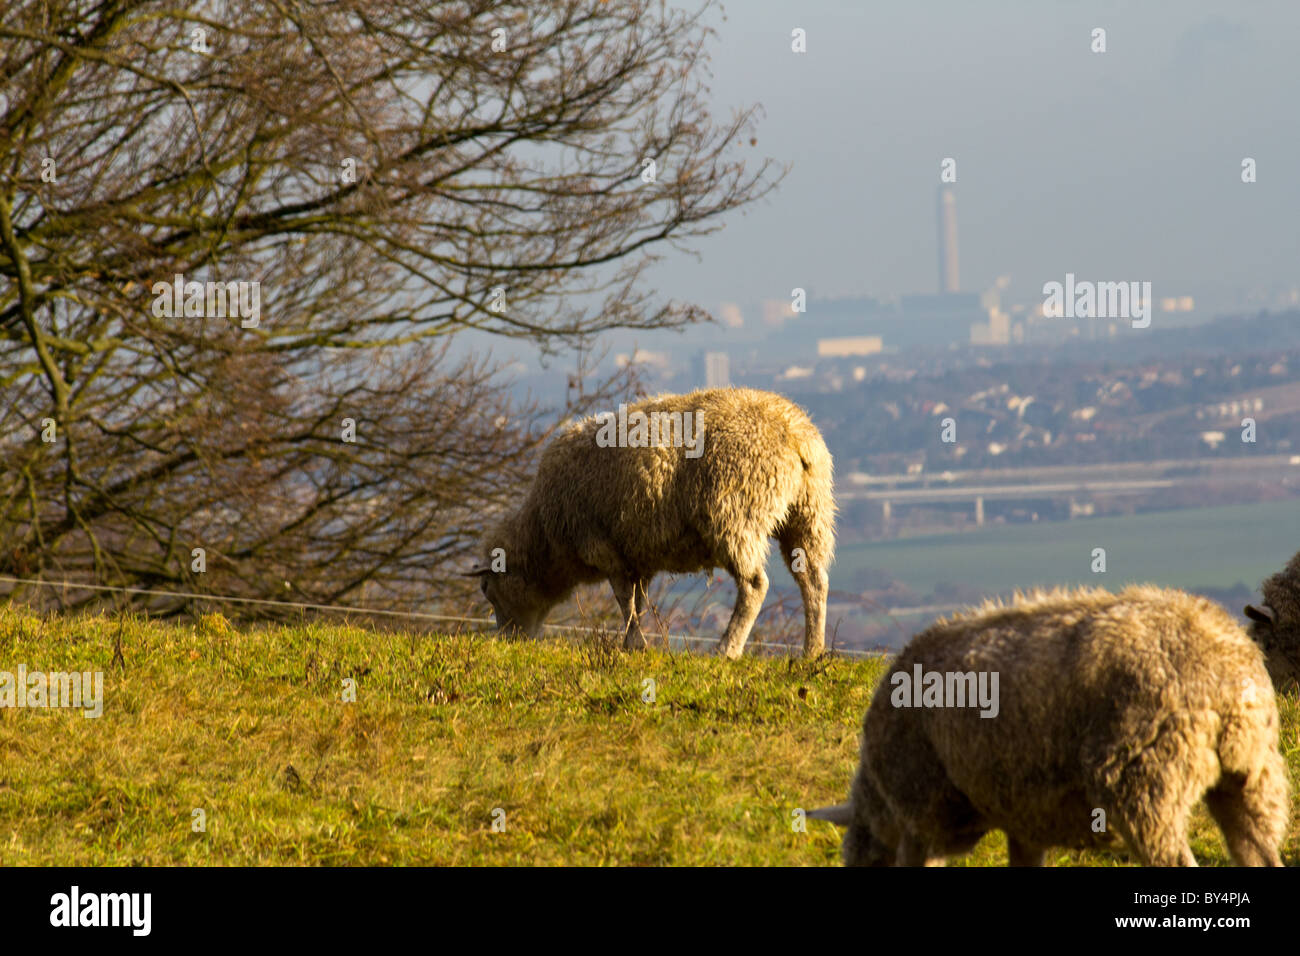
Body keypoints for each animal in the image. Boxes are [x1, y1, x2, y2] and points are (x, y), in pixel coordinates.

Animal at [465, 387, 835, 659]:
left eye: (488, 589)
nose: (508, 641)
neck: (543, 529)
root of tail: (794, 432)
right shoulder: (637, 555)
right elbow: (639, 601)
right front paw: (638, 644)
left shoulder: (606, 549)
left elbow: (625, 602)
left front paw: (631, 644)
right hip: (809, 514)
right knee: (814, 582)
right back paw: (812, 652)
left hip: (736, 513)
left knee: (755, 585)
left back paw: (727, 649)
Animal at [810, 586, 1289, 867]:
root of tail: (1225, 678)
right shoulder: (1024, 816)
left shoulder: (923, 815)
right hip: (1253, 777)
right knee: (1258, 851)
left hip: (1145, 781)